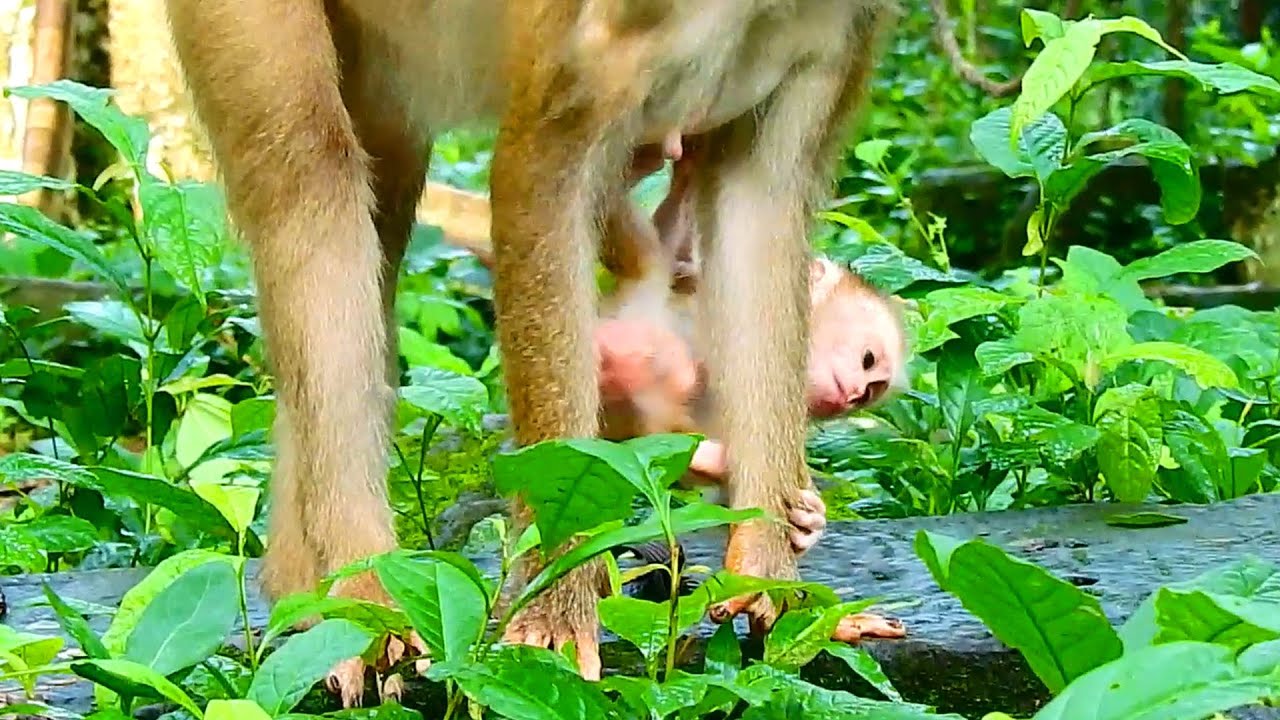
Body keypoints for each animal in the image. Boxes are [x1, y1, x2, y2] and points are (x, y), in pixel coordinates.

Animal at [162, 0, 901, 706]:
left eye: (870, 385)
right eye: (867, 366)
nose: (849, 392)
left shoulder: (843, 29)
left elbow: (762, 203)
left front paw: (776, 582)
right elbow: (545, 168)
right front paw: (554, 614)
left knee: (384, 207)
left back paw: (301, 597)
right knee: (313, 178)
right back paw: (360, 603)